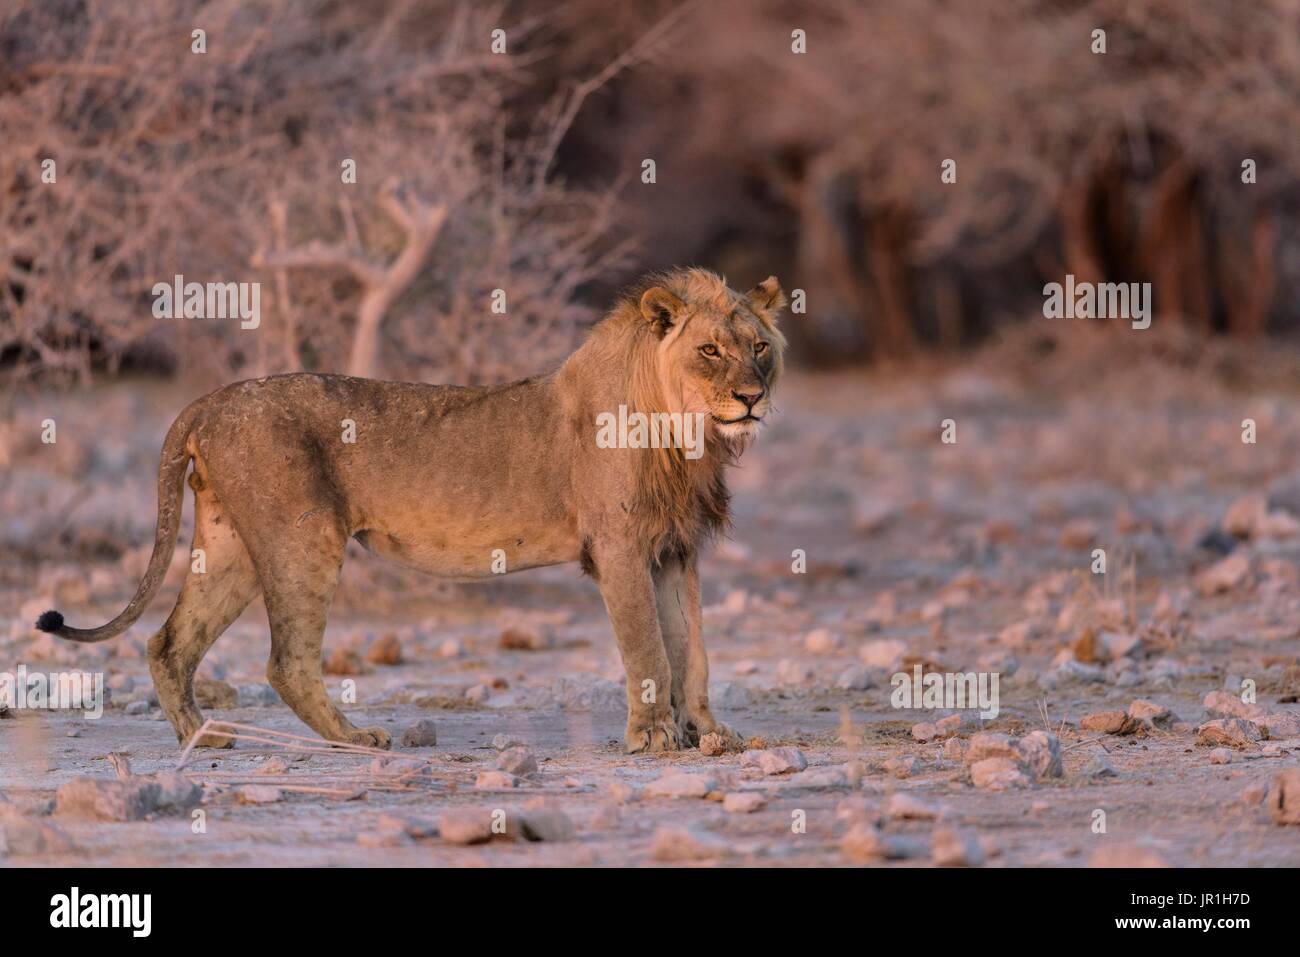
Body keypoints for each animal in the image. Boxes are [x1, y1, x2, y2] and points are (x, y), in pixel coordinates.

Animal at [36, 268, 787, 753]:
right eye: (709, 350)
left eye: (760, 348)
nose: (751, 397)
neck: (686, 434)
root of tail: (209, 400)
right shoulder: (620, 546)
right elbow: (648, 648)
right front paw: (653, 736)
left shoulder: (675, 549)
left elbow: (693, 650)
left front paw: (709, 733)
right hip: (303, 536)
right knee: (284, 661)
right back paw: (355, 737)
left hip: (231, 547)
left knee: (169, 642)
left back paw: (204, 738)